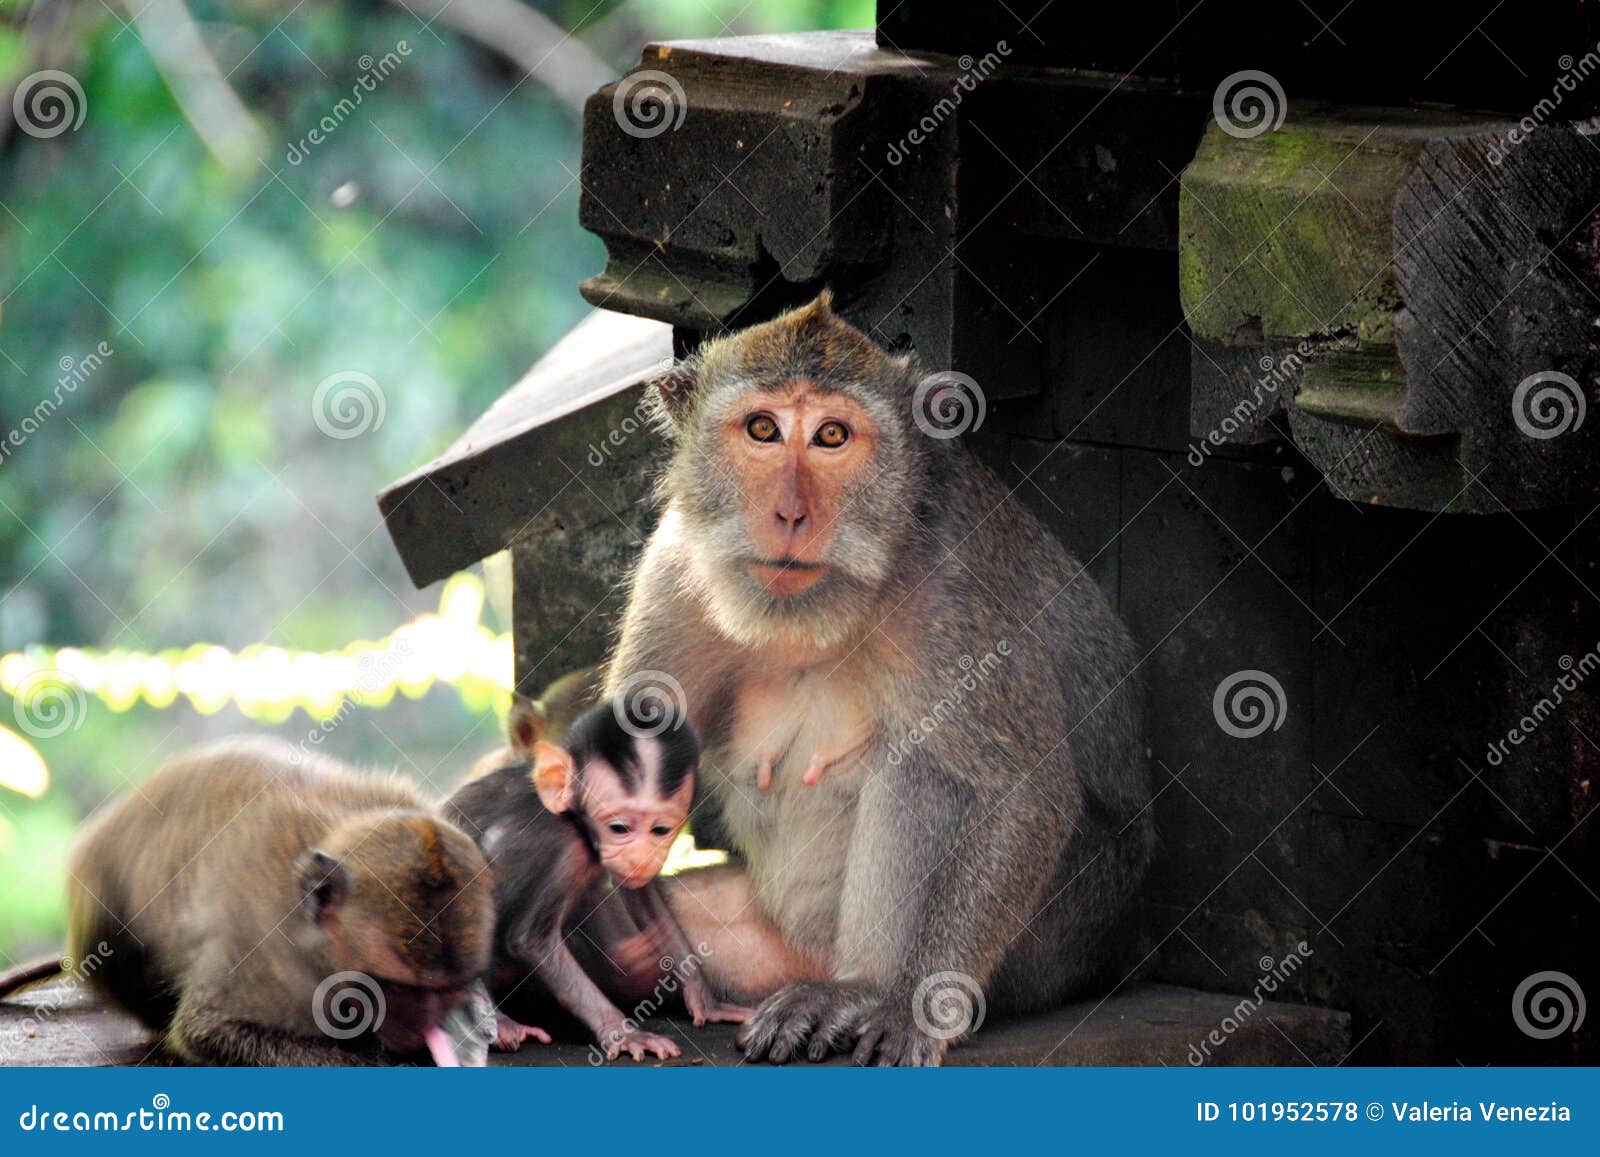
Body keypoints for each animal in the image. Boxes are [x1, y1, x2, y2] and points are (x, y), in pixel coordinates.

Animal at [443, 694, 751, 1062]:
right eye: (619, 828)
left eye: (660, 830)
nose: (641, 856)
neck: (575, 818)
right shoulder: (566, 847)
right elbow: (530, 939)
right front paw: (623, 1034)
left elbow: (637, 891)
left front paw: (703, 996)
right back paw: (498, 1022)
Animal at [603, 291, 1153, 1066]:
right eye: (763, 429)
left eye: (831, 435)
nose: (790, 513)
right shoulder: (673, 568)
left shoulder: (951, 592)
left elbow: (1023, 790)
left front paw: (910, 1006)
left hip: (1068, 930)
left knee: (922, 768)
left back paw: (856, 990)